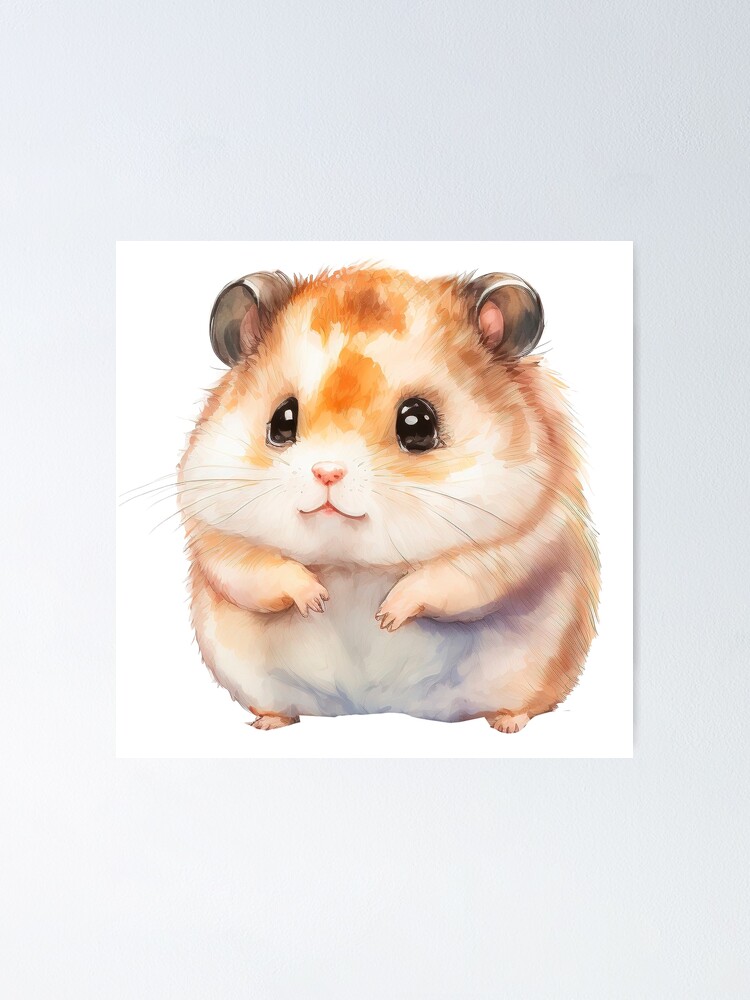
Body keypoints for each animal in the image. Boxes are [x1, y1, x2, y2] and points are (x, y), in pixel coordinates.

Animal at [178, 266, 599, 733]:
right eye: (281, 421)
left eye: (419, 424)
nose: (328, 472)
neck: (351, 564)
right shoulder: (213, 530)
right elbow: (255, 568)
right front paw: (317, 599)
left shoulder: (525, 535)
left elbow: (453, 576)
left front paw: (386, 616)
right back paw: (268, 723)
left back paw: (508, 724)